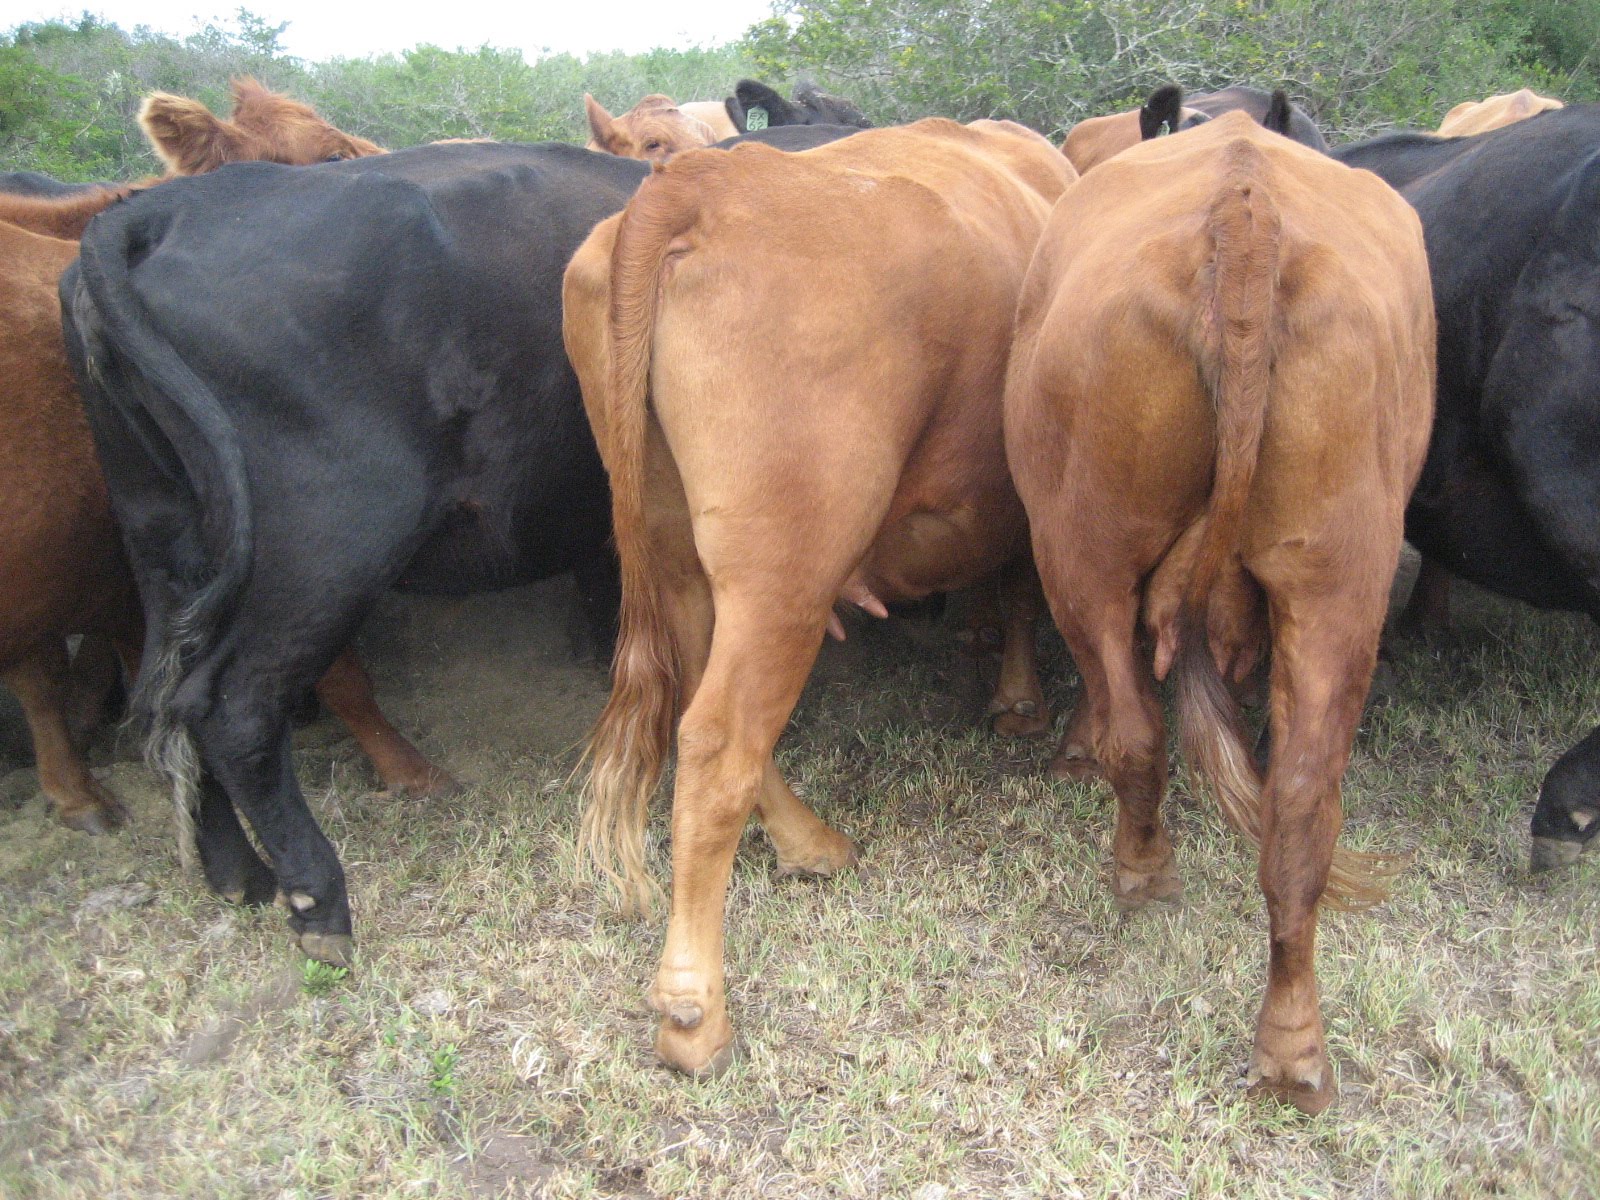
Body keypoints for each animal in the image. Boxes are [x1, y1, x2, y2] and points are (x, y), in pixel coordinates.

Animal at [62, 141, 655, 965]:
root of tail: (165, 205)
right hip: (327, 544)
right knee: (230, 708)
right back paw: (318, 901)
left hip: (165, 536)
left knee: (164, 691)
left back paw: (237, 874)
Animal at [566, 118, 1075, 1077]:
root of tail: (700, 182)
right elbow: (1022, 588)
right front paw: (1019, 700)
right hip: (786, 567)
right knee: (721, 740)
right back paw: (694, 1013)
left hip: (673, 547)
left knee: (700, 703)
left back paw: (809, 844)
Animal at [1006, 113, 1434, 1112]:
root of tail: (1245, 213)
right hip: (1335, 578)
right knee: (1296, 801)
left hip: (1084, 546)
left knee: (1150, 736)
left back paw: (1150, 880)